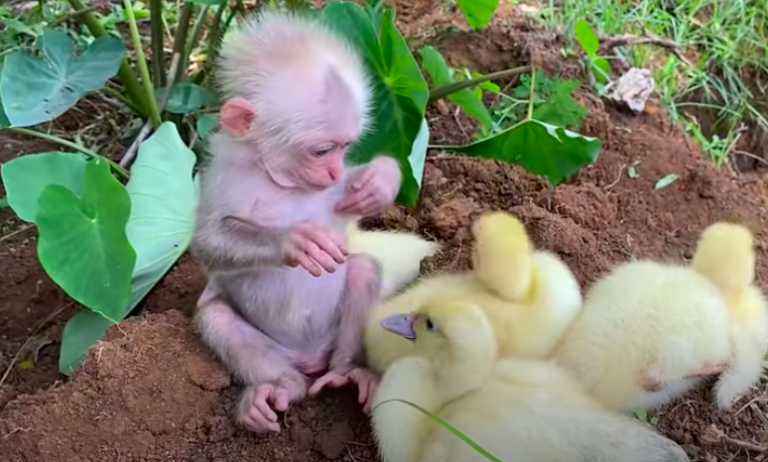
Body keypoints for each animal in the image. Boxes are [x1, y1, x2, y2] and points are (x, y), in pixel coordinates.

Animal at [189, 11, 403, 434]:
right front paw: (293, 241)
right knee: (217, 318)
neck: (276, 178)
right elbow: (209, 243)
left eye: (345, 147)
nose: (334, 169)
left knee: (362, 269)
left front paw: (381, 180)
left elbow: (350, 198)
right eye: (321, 151)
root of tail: (311, 355)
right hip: (275, 349)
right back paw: (278, 388)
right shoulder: (222, 173)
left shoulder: (332, 191)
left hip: (333, 334)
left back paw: (347, 370)